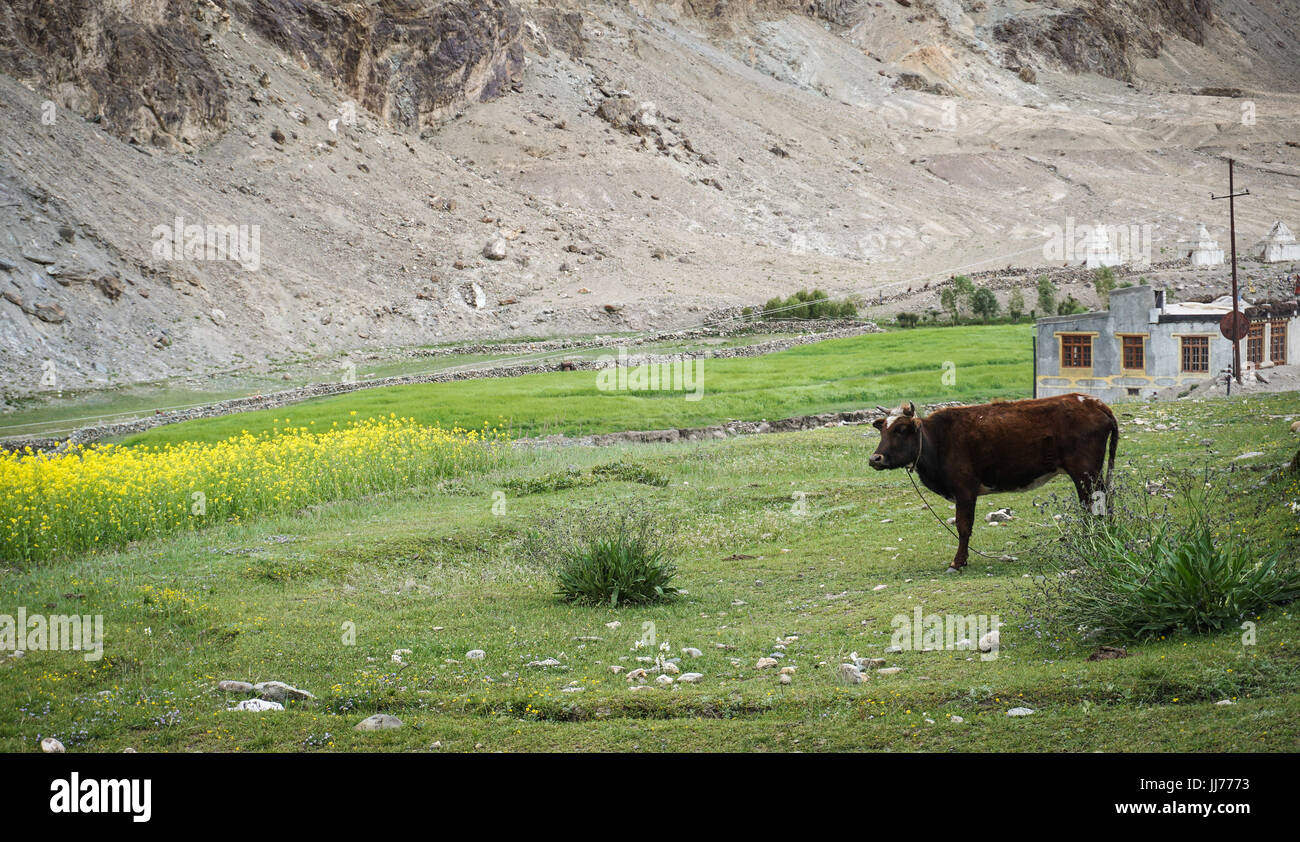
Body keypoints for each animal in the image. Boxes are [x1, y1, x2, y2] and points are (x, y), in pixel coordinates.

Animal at [869, 394, 1118, 572]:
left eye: (901, 429)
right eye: (883, 430)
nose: (875, 459)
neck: (938, 440)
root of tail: (1093, 402)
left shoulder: (965, 491)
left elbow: (963, 527)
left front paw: (958, 562)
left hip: (1085, 473)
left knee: (1092, 506)